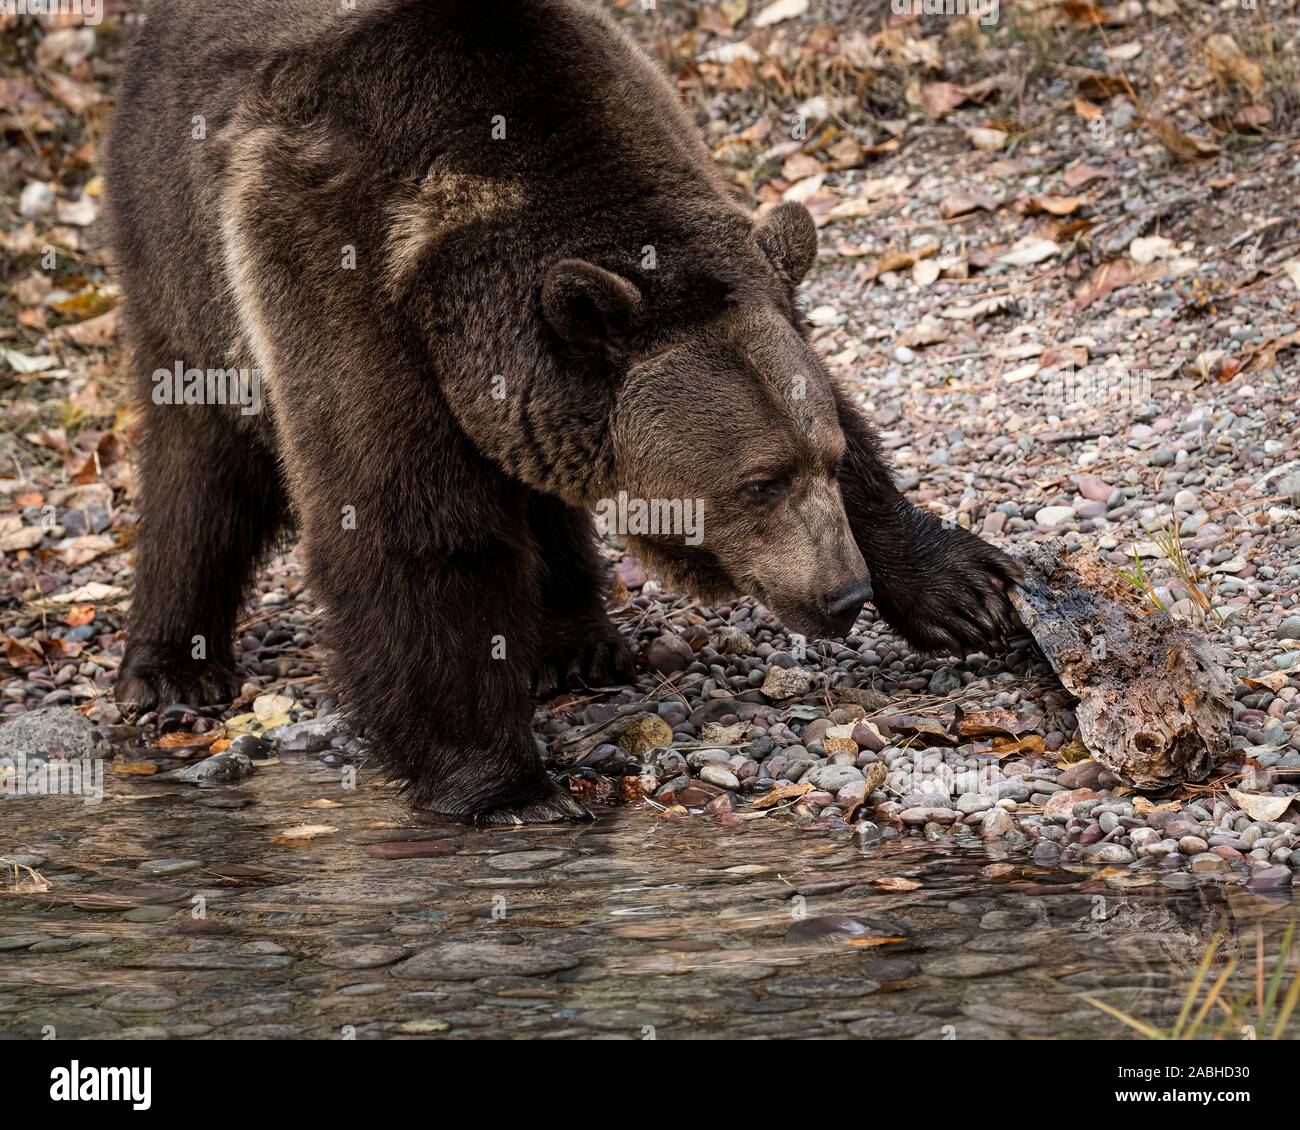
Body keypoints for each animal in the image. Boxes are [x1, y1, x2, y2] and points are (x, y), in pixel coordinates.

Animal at [106, 0, 1019, 823]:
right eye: (757, 482)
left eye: (820, 460)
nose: (843, 595)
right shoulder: (346, 284)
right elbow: (409, 525)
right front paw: (503, 783)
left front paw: (963, 590)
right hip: (179, 257)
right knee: (202, 465)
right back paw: (173, 667)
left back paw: (576, 643)